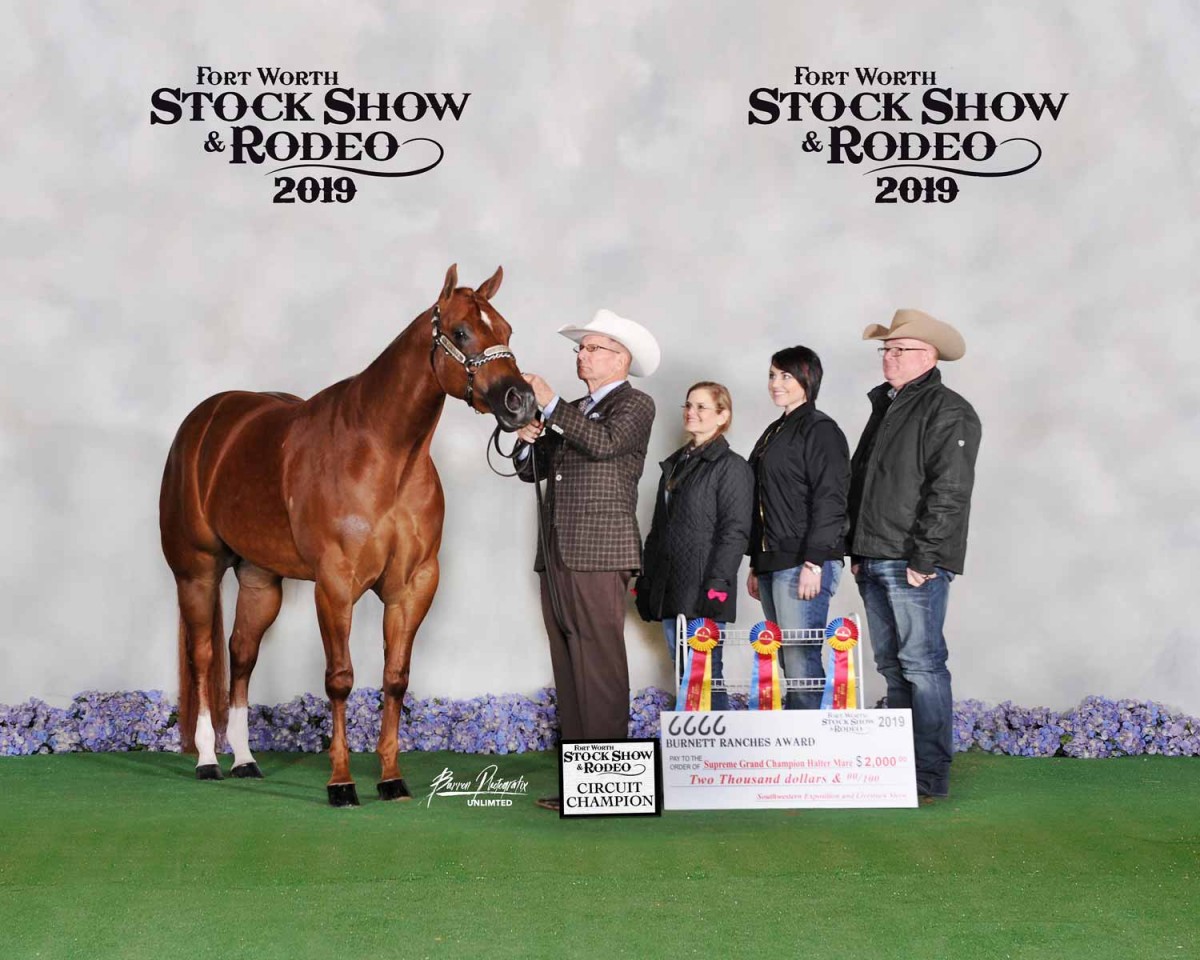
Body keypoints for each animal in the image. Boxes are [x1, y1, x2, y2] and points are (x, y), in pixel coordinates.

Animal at [159, 264, 536, 806]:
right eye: (462, 332)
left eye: (506, 330)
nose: (521, 402)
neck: (384, 455)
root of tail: (202, 423)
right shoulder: (335, 584)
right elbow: (340, 679)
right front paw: (341, 783)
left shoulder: (413, 586)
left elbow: (395, 679)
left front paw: (391, 778)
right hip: (197, 571)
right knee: (205, 656)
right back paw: (209, 760)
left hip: (260, 581)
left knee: (242, 654)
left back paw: (246, 761)